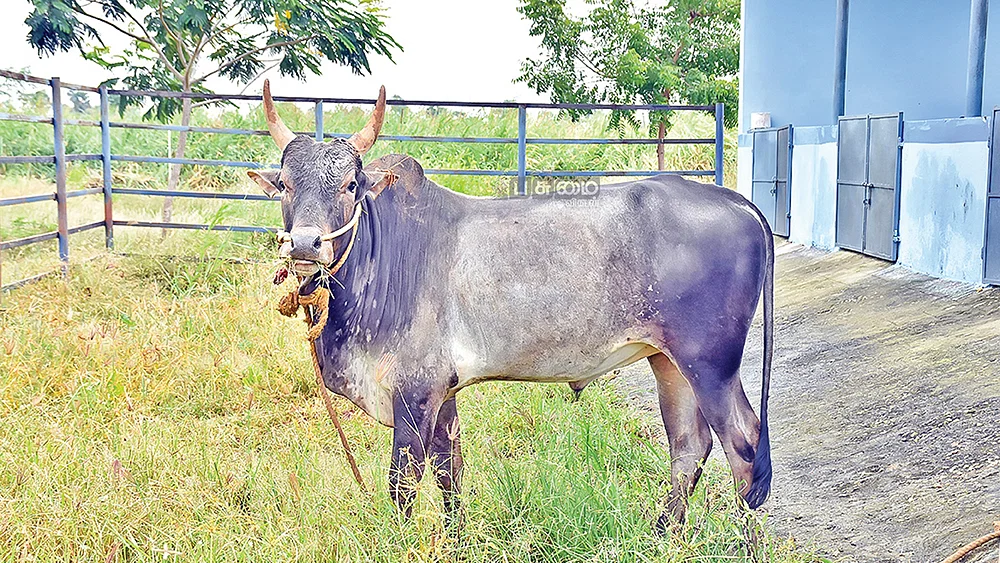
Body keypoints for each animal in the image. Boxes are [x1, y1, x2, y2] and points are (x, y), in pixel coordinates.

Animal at [248, 81, 774, 531]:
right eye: (285, 184)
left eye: (350, 185)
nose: (305, 244)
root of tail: (734, 200)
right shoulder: (442, 394)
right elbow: (450, 474)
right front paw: (455, 537)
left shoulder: (415, 394)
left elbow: (403, 485)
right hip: (668, 360)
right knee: (689, 445)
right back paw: (663, 533)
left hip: (711, 363)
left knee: (743, 446)